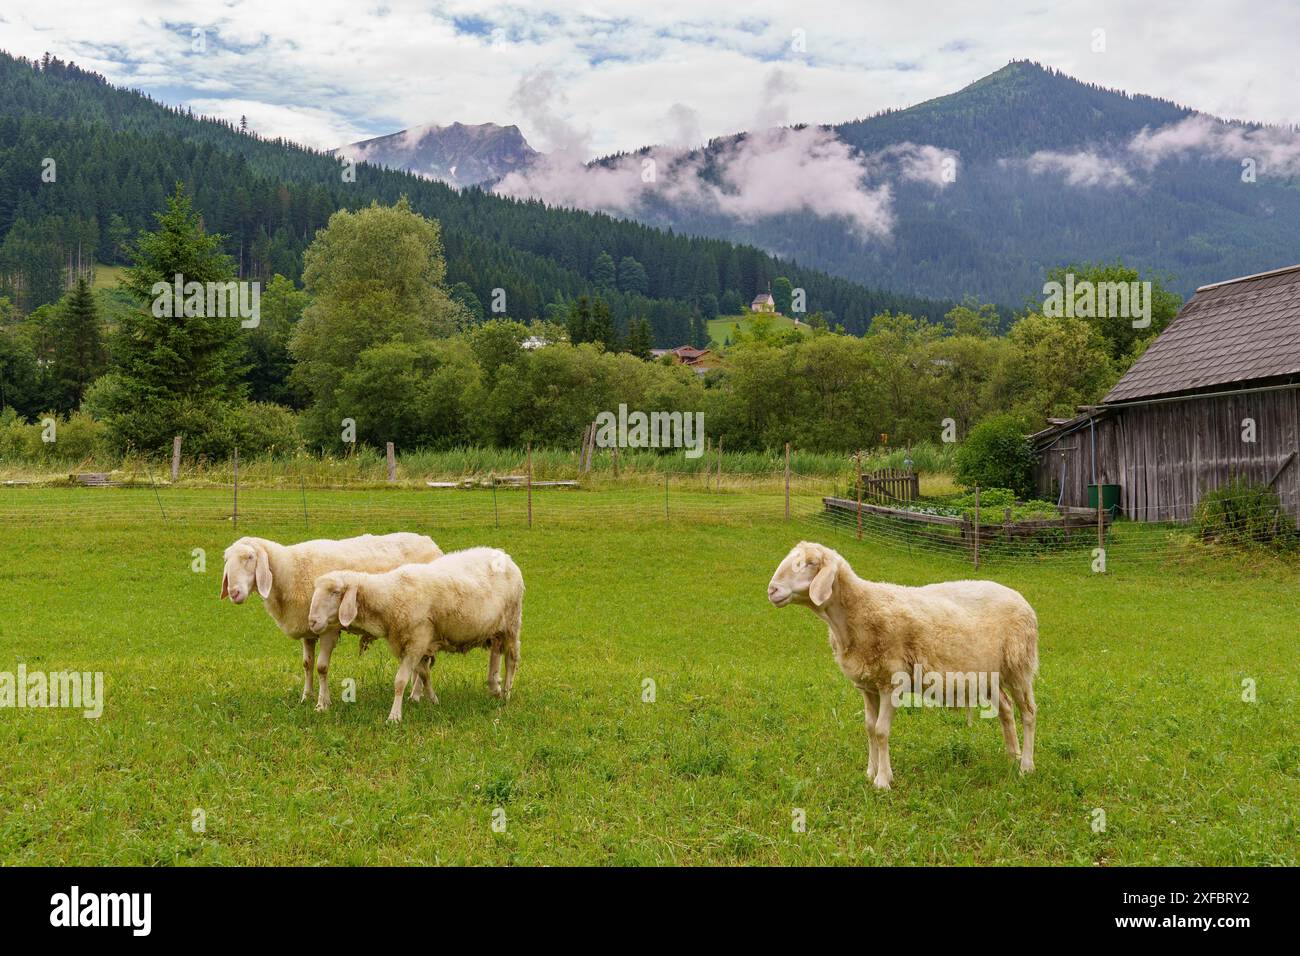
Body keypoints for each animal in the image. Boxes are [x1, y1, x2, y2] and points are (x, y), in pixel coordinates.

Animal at [220, 533, 442, 710]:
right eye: (226, 559)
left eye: (250, 557)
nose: (234, 592)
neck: (290, 571)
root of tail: (430, 542)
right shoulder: (308, 628)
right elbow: (307, 664)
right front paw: (306, 696)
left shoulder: (329, 628)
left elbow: (321, 667)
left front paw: (322, 704)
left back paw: (415, 695)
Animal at [306, 546, 524, 722]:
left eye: (335, 592)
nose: (312, 622)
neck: (391, 596)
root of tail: (505, 556)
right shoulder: (414, 643)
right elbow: (424, 673)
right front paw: (433, 699)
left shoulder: (417, 641)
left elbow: (401, 680)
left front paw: (394, 716)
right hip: (495, 629)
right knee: (496, 652)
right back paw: (494, 689)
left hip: (512, 623)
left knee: (511, 659)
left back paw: (506, 694)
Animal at [767, 541, 1038, 789]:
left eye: (811, 563)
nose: (772, 589)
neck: (857, 611)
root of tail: (1021, 598)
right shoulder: (868, 685)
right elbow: (869, 728)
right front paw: (870, 771)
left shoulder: (892, 681)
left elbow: (881, 731)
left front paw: (883, 780)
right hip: (988, 672)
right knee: (1005, 708)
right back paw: (1012, 756)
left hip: (1018, 665)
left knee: (1028, 713)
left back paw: (1026, 766)